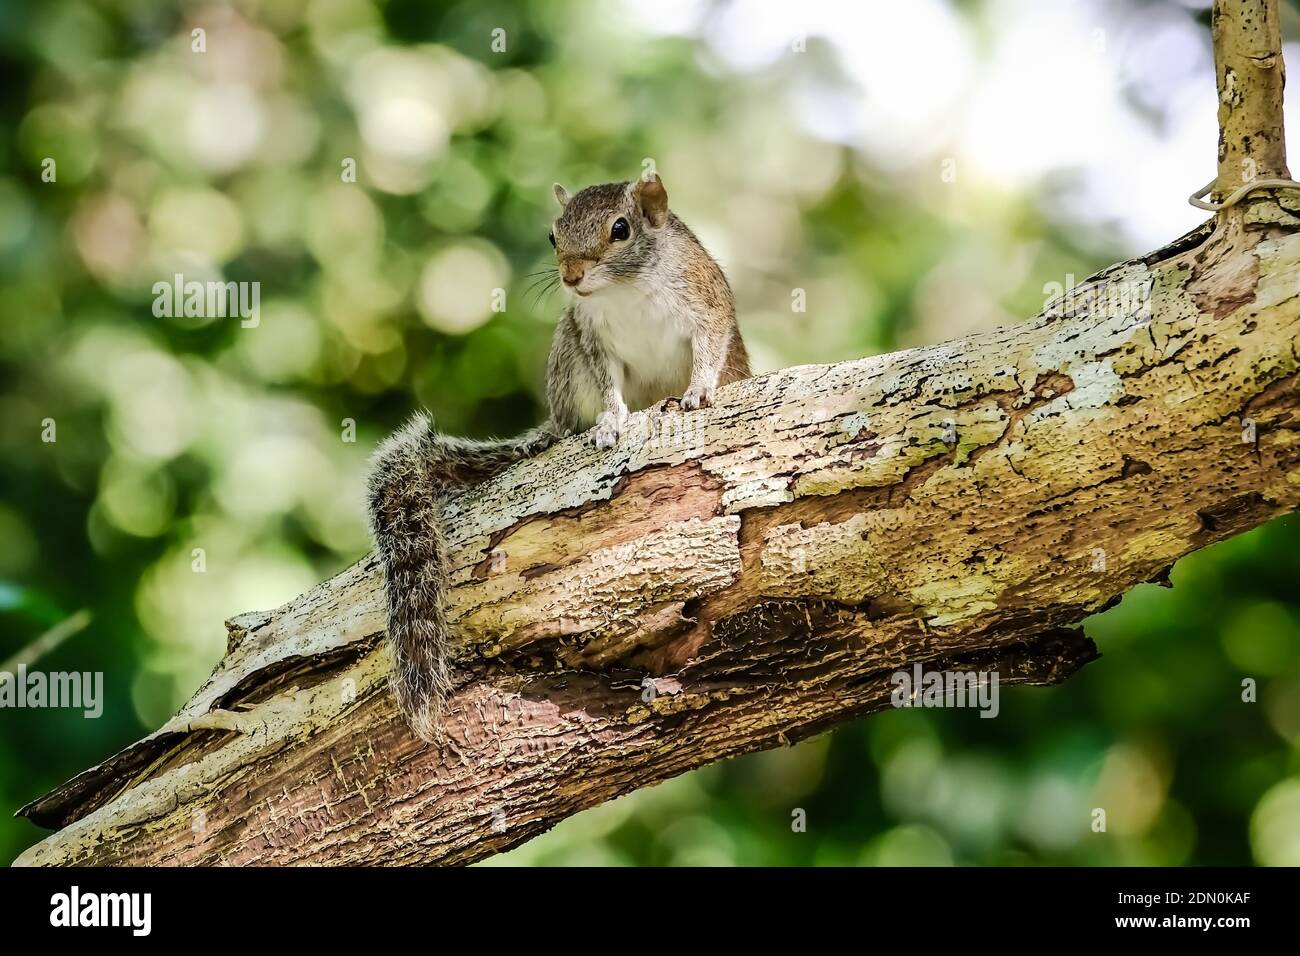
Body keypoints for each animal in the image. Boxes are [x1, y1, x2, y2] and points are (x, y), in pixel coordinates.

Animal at [367, 173, 750, 740]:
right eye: (553, 235)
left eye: (621, 229)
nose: (570, 277)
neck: (624, 290)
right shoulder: (591, 339)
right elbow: (608, 385)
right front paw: (612, 421)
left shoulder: (705, 302)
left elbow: (709, 344)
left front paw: (700, 389)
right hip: (566, 348)